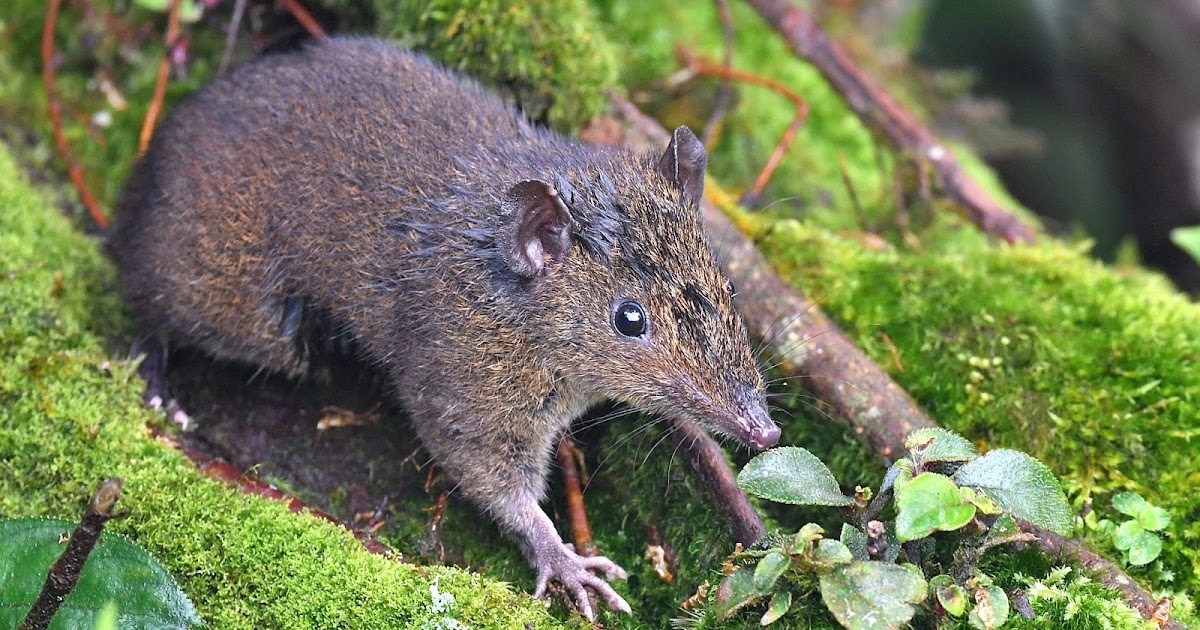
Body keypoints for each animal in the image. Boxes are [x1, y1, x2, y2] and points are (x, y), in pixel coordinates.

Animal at [112, 37, 780, 619]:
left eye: (730, 289)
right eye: (629, 319)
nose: (768, 432)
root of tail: (144, 173)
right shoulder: (469, 391)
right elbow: (505, 492)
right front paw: (568, 565)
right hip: (244, 310)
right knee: (145, 301)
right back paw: (155, 382)